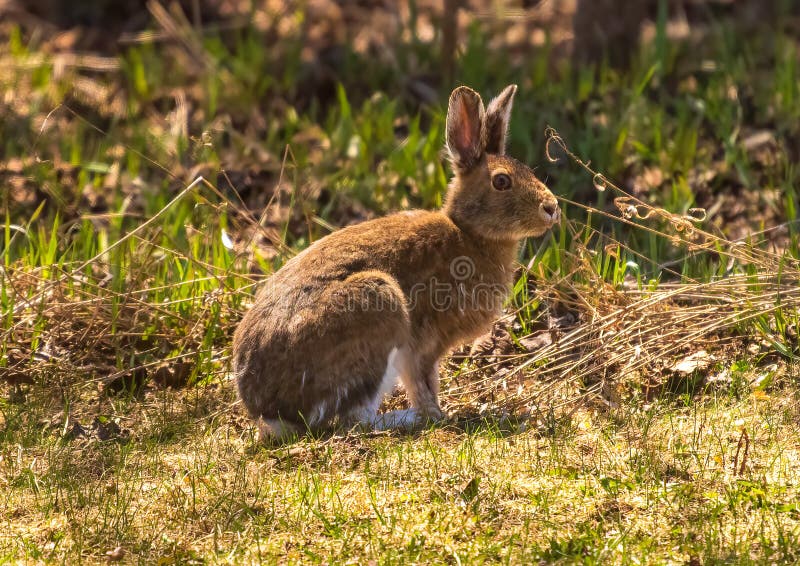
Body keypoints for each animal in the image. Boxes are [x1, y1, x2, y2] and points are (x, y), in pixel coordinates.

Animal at [232, 84, 561, 442]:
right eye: (501, 182)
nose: (552, 207)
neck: (469, 233)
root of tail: (268, 408)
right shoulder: (423, 343)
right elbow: (423, 382)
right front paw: (437, 415)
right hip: (377, 305)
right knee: (353, 419)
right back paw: (407, 419)